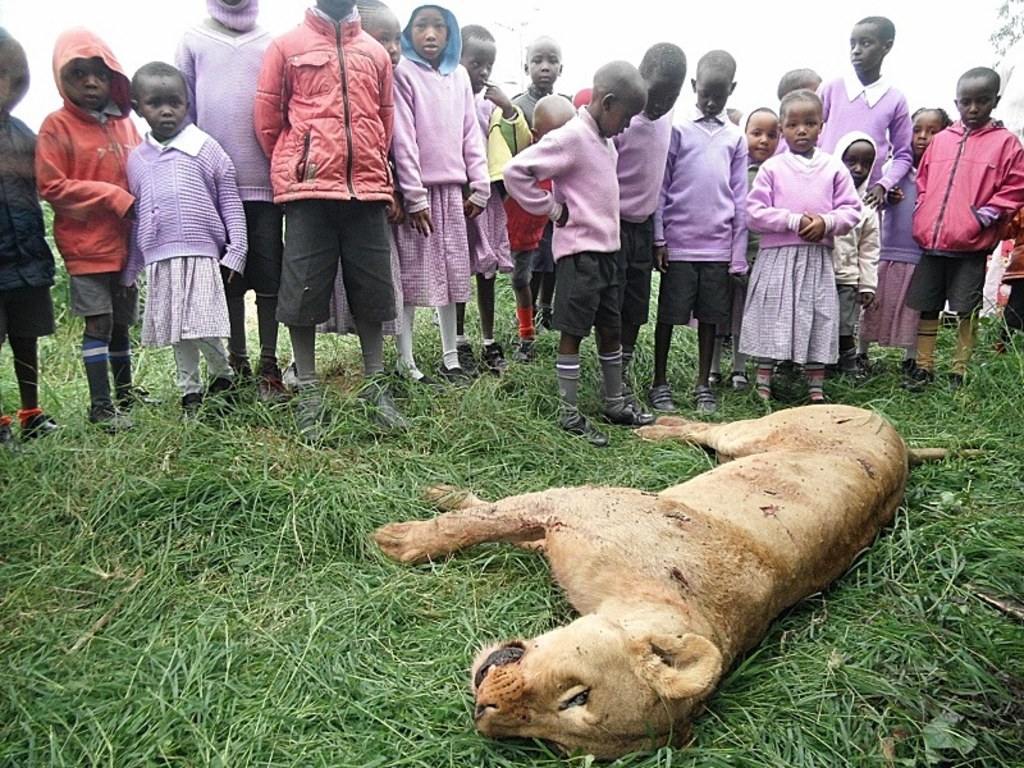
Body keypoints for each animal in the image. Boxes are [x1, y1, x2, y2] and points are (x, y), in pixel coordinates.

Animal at [372, 405, 911, 759]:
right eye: (579, 696)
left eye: (554, 740)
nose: (483, 709)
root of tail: (899, 437)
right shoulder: (572, 504)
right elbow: (476, 520)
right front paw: (404, 535)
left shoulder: (558, 523)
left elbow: (494, 519)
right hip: (751, 433)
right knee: (708, 428)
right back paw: (655, 427)